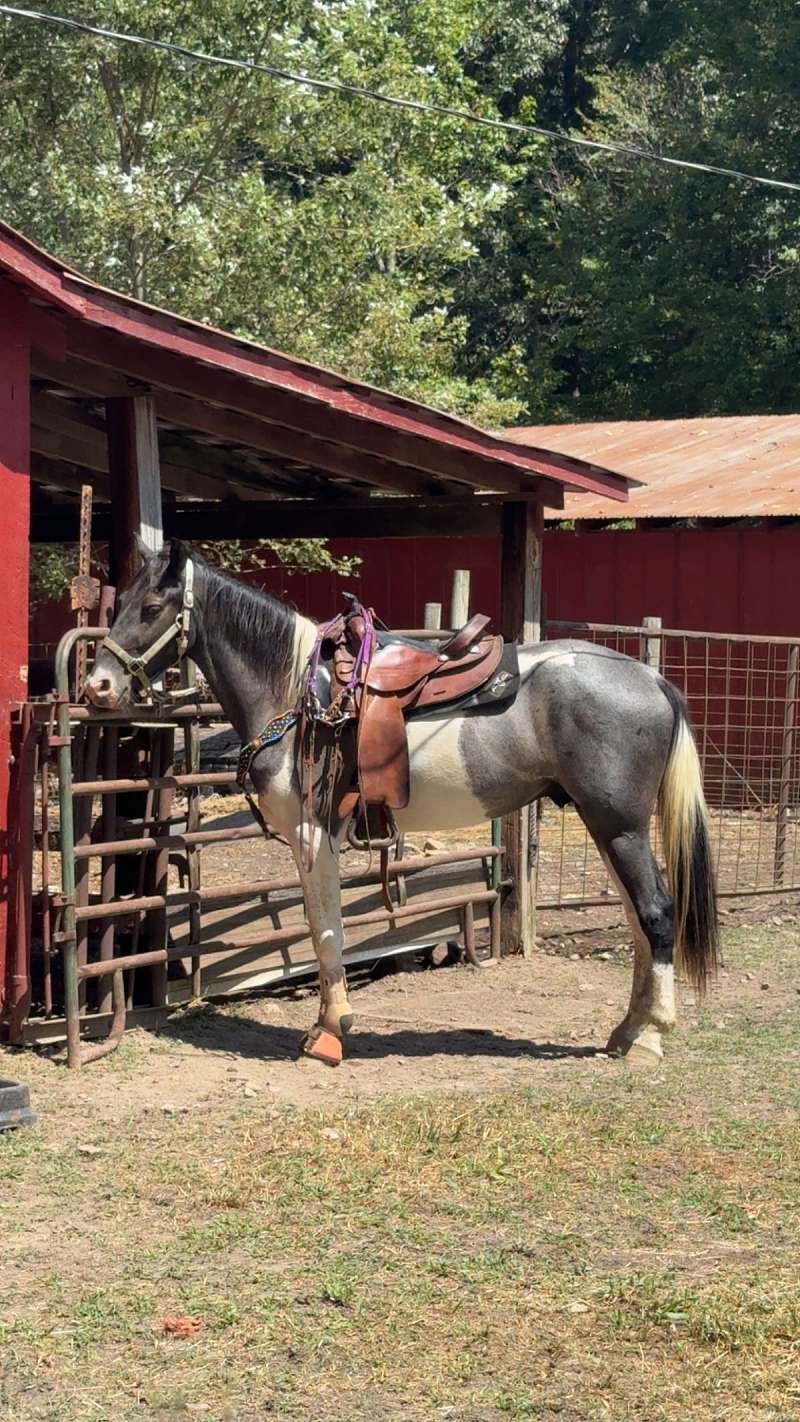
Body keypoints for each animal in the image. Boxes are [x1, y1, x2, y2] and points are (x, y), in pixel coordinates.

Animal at [85, 539, 718, 1068]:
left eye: (151, 607)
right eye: (123, 604)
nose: (97, 687)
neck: (297, 694)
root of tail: (651, 680)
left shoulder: (313, 834)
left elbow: (326, 931)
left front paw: (329, 1033)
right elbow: (322, 927)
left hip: (620, 825)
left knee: (655, 913)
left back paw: (650, 1036)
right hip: (605, 823)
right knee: (638, 920)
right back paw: (626, 1031)